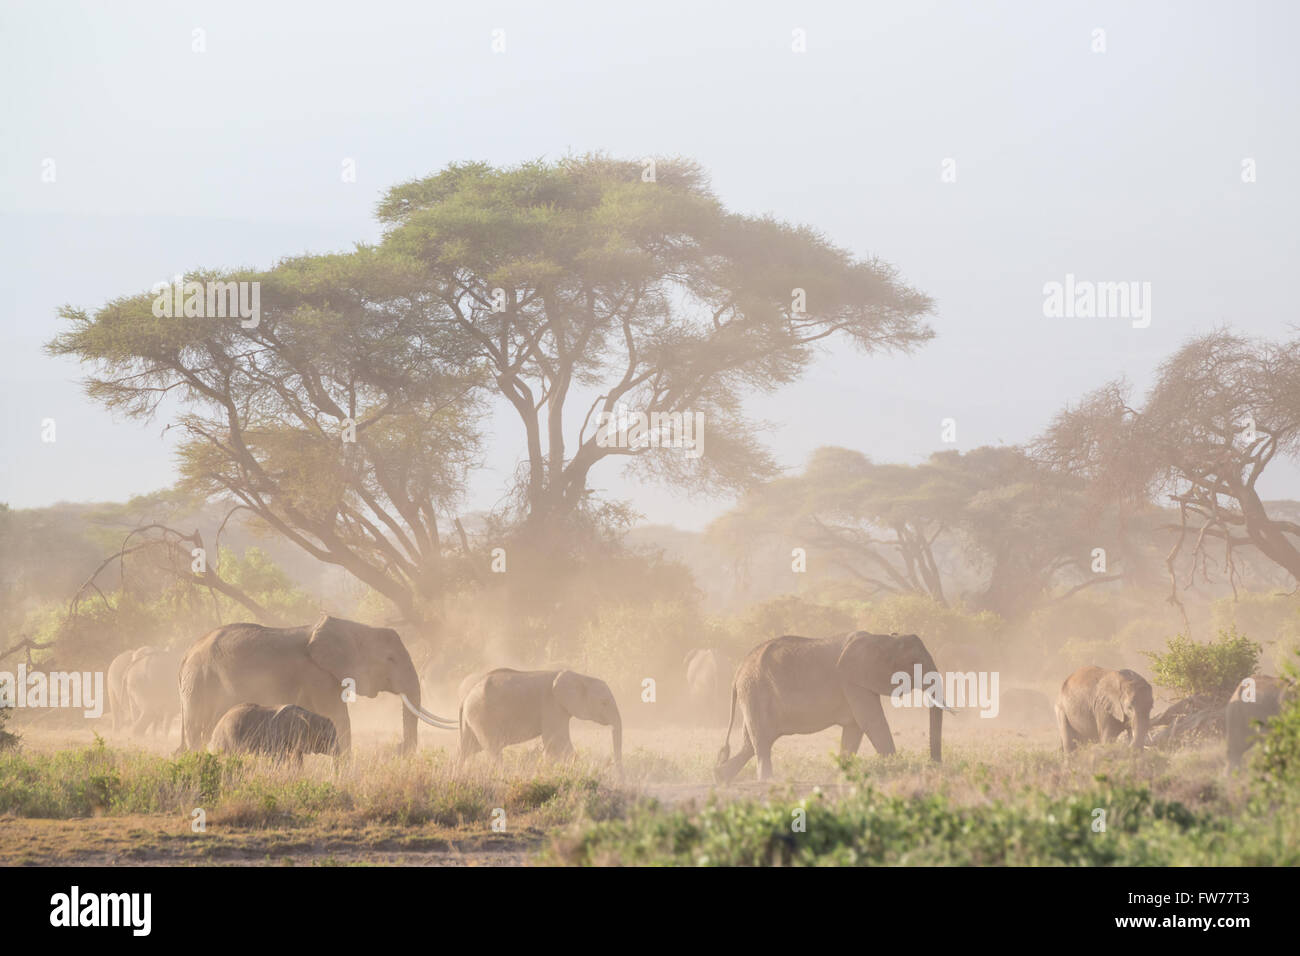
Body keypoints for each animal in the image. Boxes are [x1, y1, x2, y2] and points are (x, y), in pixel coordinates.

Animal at [178, 614, 456, 756]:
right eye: (390, 659)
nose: (398, 747)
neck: (356, 628)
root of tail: (187, 653)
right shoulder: (319, 675)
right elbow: (338, 717)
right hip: (201, 682)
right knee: (197, 728)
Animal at [458, 668, 622, 774]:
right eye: (604, 702)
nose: (613, 767)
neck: (581, 677)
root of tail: (465, 698)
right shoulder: (552, 704)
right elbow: (557, 742)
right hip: (482, 716)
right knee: (494, 748)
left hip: (473, 719)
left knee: (468, 748)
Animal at [714, 631, 946, 784]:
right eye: (914, 663)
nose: (934, 765)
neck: (884, 638)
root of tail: (738, 672)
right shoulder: (852, 681)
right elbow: (872, 722)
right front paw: (900, 770)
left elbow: (854, 729)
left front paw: (840, 776)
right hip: (755, 692)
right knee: (761, 741)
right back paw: (766, 781)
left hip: (753, 694)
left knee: (750, 744)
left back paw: (720, 777)